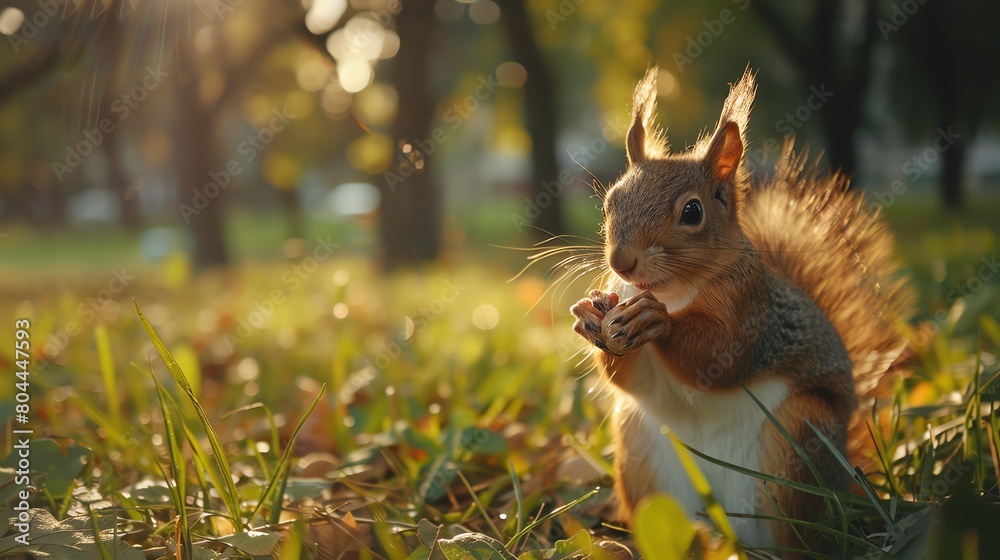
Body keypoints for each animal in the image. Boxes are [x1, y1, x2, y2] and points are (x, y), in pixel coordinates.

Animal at [570, 68, 913, 555]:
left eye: (692, 211)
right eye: (610, 202)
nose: (621, 262)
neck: (674, 291)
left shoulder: (751, 310)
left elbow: (718, 356)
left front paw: (657, 322)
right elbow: (633, 381)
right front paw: (590, 315)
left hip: (798, 441)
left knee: (798, 539)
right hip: (641, 454)